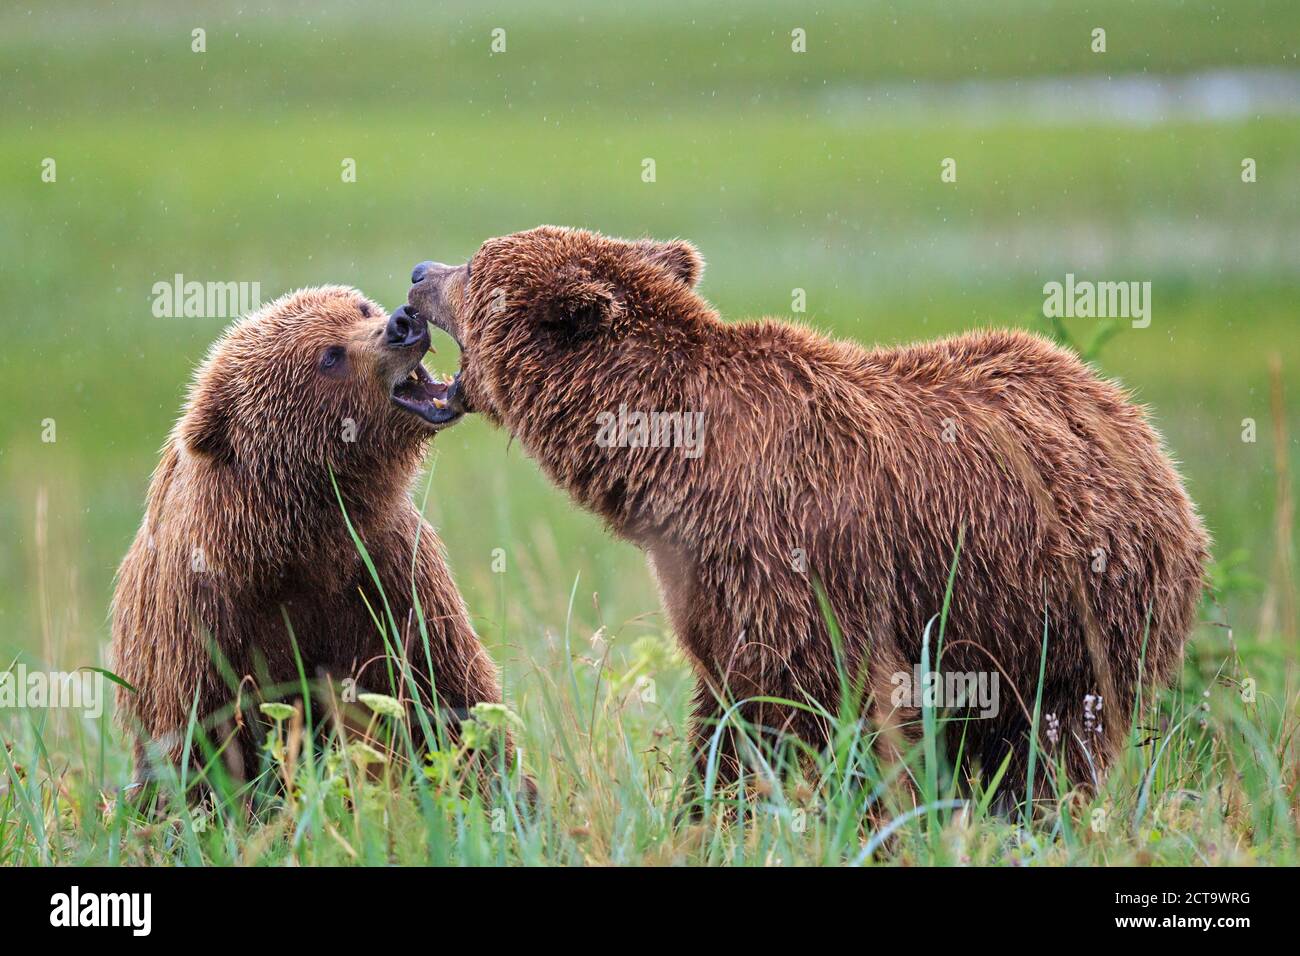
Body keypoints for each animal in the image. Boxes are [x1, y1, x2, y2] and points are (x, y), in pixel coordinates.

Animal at [111, 286, 518, 789]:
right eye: (330, 356)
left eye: (359, 309)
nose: (403, 324)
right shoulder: (206, 620)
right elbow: (209, 743)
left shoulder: (387, 574)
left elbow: (444, 687)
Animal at [402, 226, 1210, 804]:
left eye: (475, 267)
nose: (418, 273)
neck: (675, 464)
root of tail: (1127, 415)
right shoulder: (707, 578)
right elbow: (728, 715)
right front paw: (709, 813)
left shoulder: (800, 552)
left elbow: (826, 705)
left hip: (1074, 607)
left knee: (1053, 744)